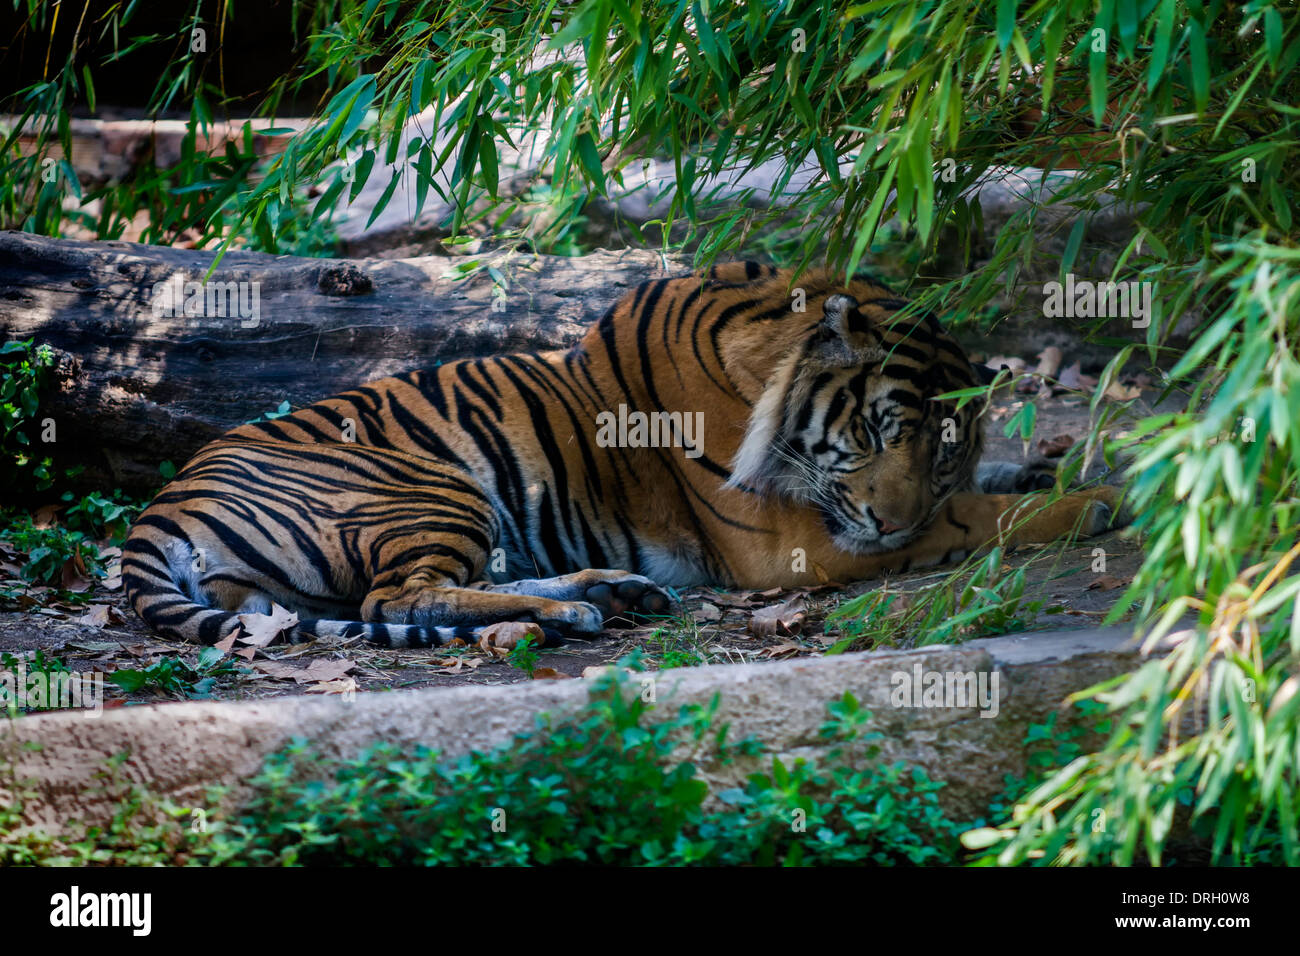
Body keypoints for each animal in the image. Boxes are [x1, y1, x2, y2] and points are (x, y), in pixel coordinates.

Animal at [123, 261, 1124, 649]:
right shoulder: (789, 543)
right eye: (880, 432)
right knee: (398, 596)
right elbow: (977, 521)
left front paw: (1054, 470)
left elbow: (988, 491)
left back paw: (612, 592)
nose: (890, 519)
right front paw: (1096, 504)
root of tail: (162, 504)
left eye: (944, 451)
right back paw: (576, 613)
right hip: (423, 484)